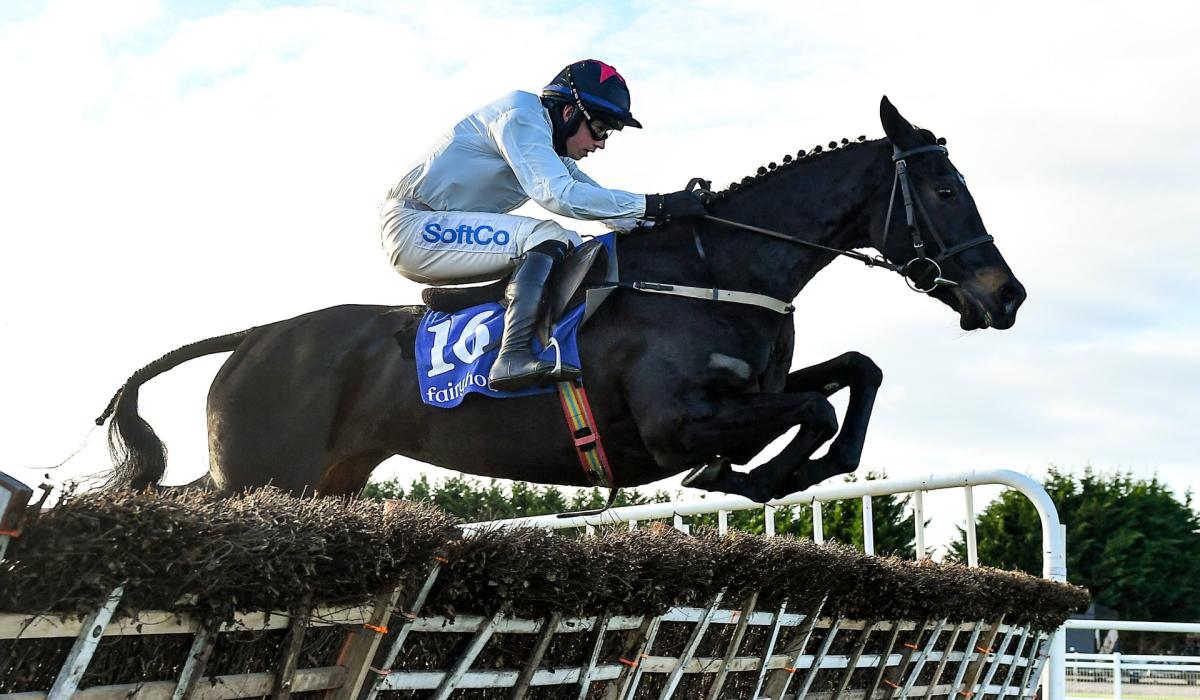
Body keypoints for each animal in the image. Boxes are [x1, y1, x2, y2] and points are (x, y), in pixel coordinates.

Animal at [99, 97, 1025, 503]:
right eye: (946, 188)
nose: (1007, 294)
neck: (717, 264)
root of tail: (256, 334)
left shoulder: (749, 391)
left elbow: (855, 376)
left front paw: (793, 469)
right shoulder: (674, 423)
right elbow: (815, 412)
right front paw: (759, 473)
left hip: (326, 481)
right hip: (258, 475)